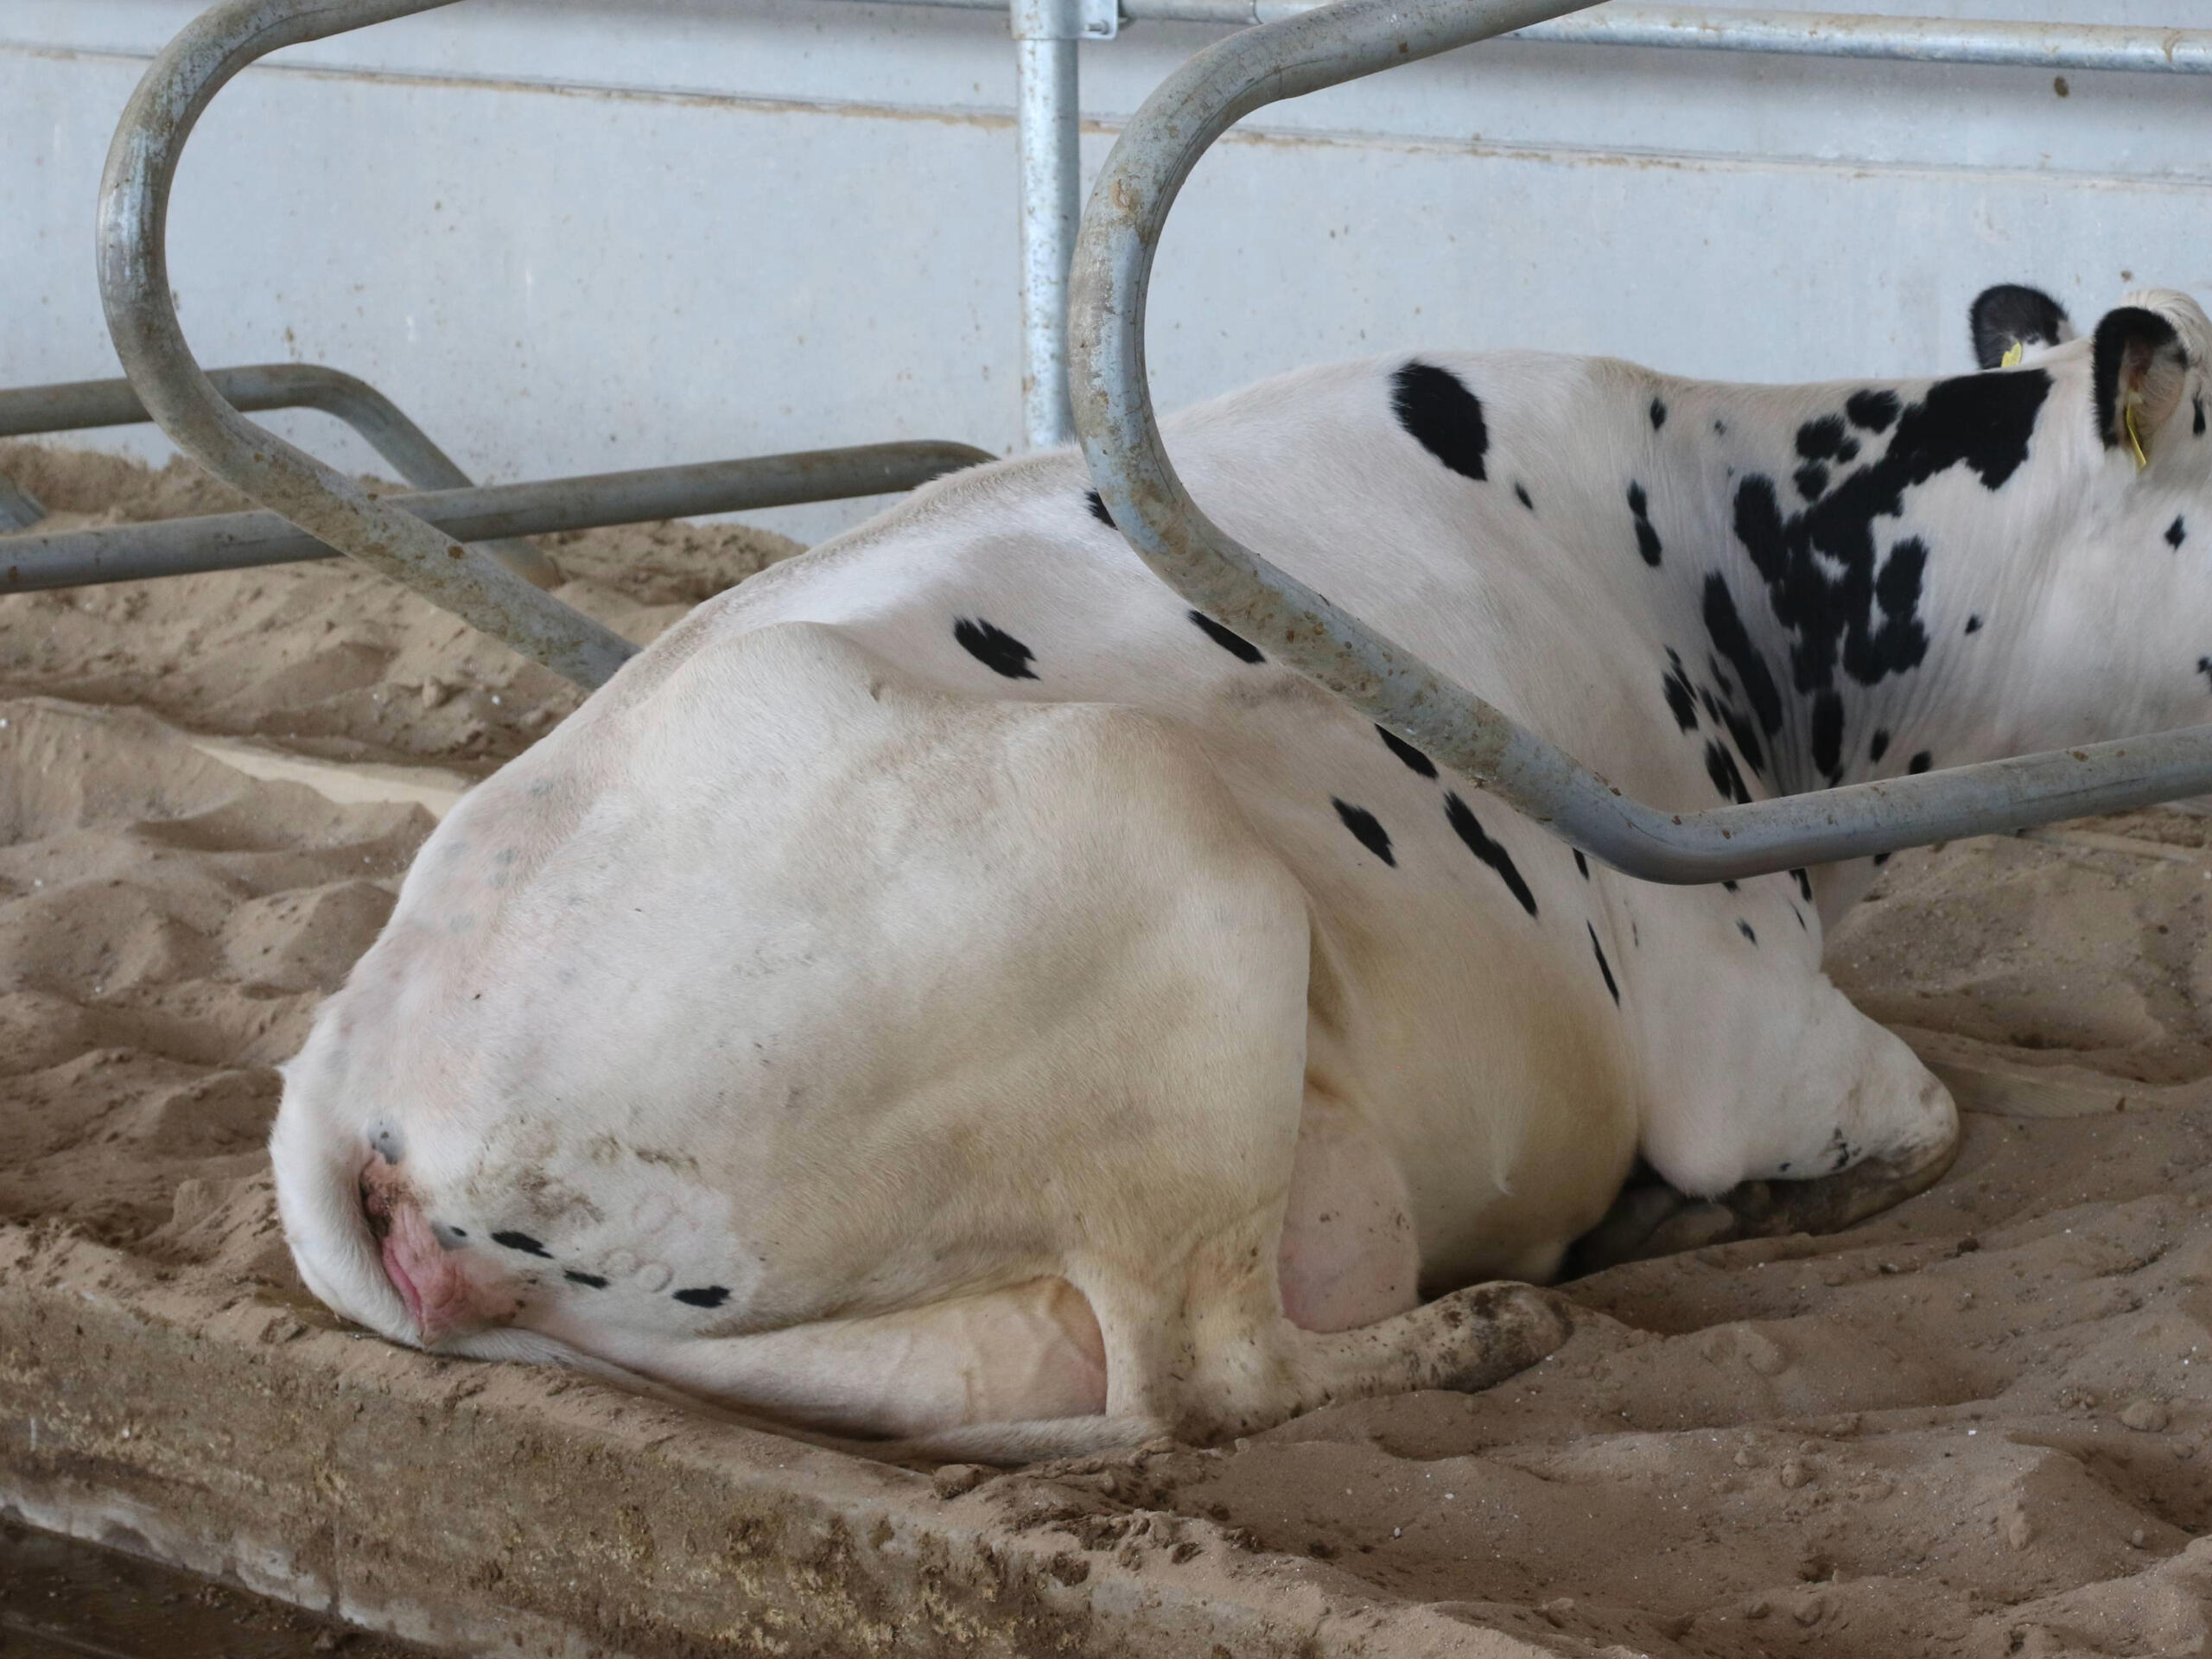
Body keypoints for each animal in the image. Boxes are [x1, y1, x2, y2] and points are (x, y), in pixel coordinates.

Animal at [272, 284, 2209, 1461]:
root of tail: (355, 1063)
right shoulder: (1741, 1029)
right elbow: (1929, 1118)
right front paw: (1712, 1214)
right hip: (1160, 852)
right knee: (1210, 1379)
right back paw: (1487, 1326)